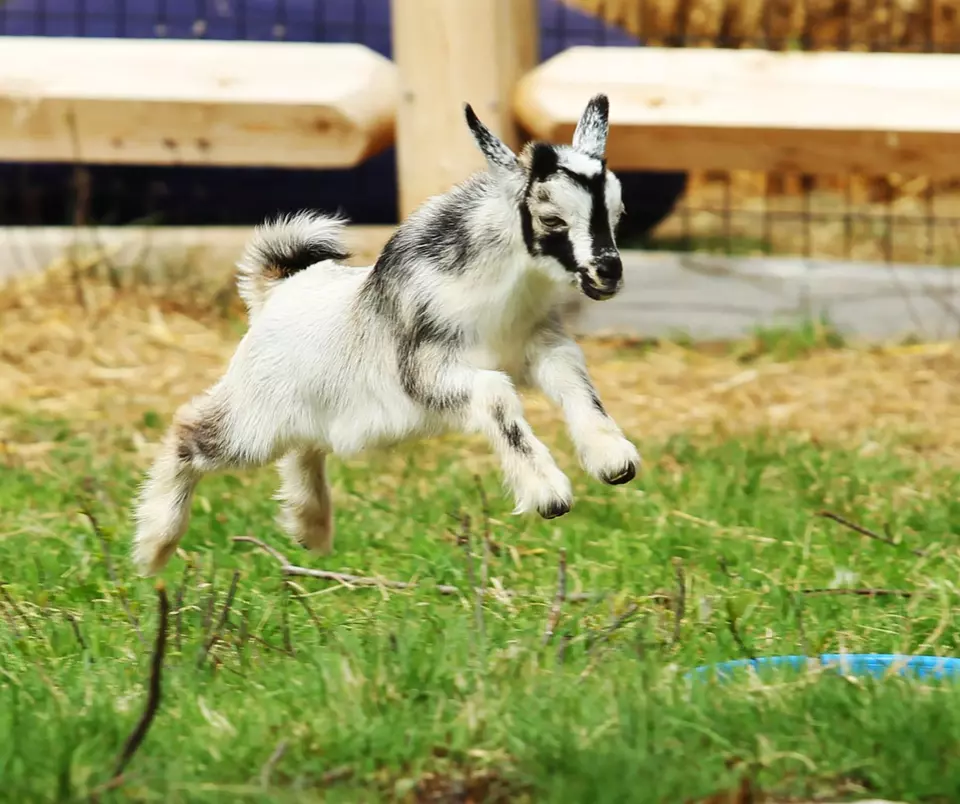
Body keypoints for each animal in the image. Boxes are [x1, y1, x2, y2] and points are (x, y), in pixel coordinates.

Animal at [131, 94, 641, 576]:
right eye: (552, 219)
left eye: (618, 213)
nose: (609, 273)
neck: (499, 299)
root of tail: (273, 291)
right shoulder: (428, 369)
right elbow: (497, 396)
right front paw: (549, 495)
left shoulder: (538, 345)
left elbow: (574, 379)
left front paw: (613, 460)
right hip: (254, 420)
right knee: (189, 431)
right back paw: (155, 547)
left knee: (303, 450)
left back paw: (310, 528)